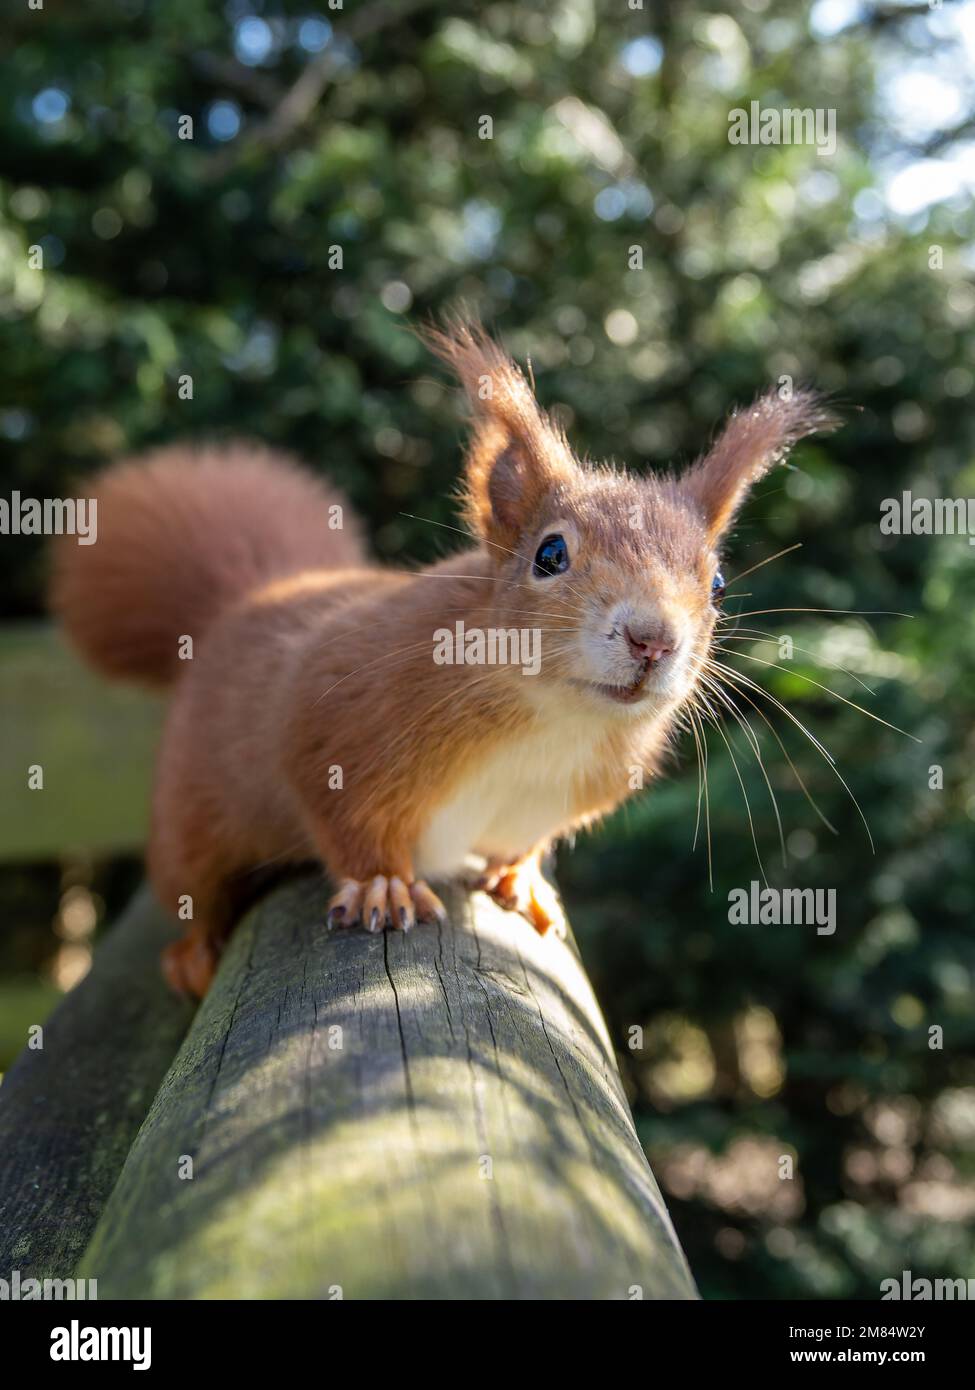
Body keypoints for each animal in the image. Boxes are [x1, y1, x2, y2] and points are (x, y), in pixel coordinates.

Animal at [51, 318, 835, 997]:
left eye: (718, 583)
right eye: (550, 554)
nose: (653, 639)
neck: (552, 720)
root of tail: (245, 600)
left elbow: (524, 841)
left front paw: (521, 877)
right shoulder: (333, 718)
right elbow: (341, 813)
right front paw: (383, 884)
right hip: (190, 817)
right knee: (195, 888)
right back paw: (193, 953)